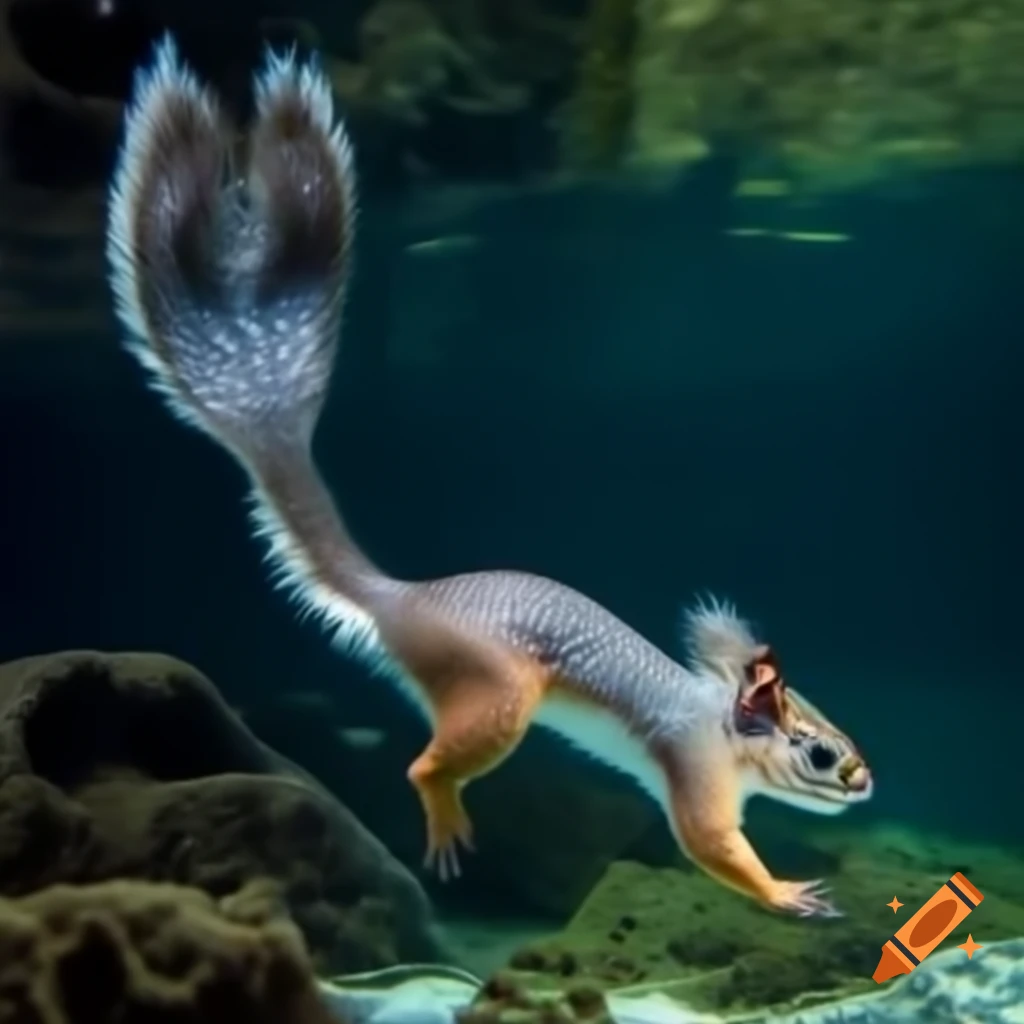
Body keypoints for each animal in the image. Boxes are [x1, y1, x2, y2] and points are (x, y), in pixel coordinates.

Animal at [105, 37, 873, 920]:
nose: (866, 780)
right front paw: (786, 892)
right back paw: (444, 821)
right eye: (818, 752)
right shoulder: (694, 772)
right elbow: (711, 846)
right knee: (424, 764)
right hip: (498, 695)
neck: (715, 722)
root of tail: (398, 602)